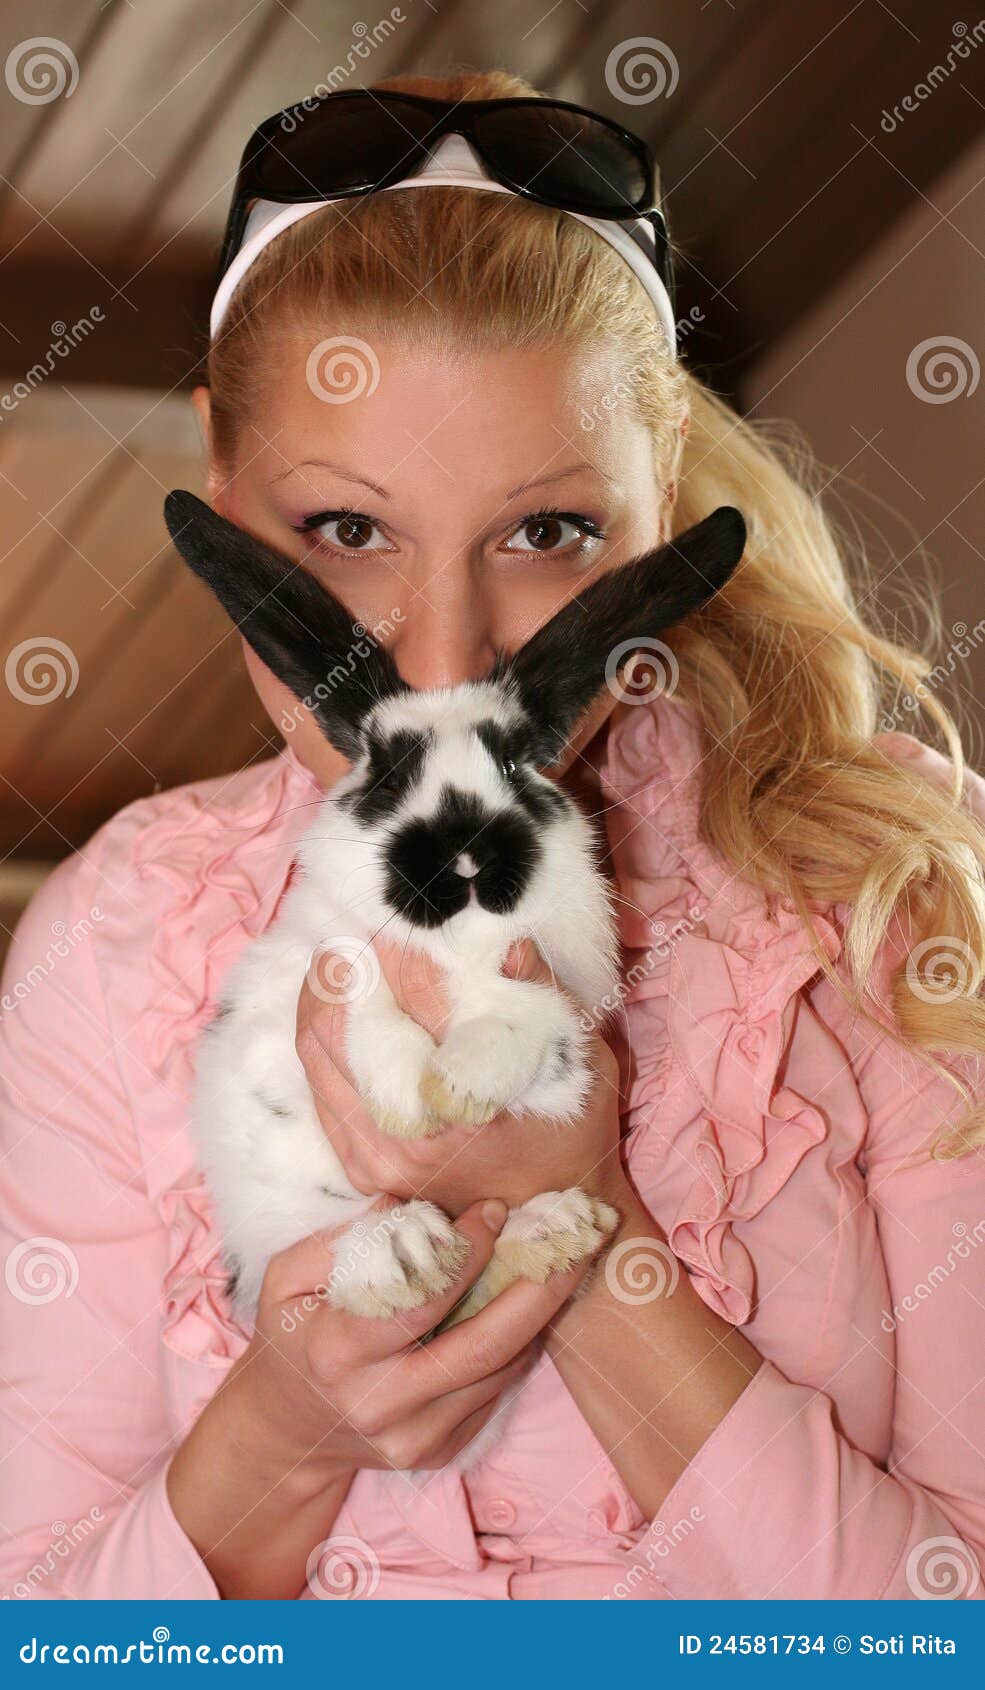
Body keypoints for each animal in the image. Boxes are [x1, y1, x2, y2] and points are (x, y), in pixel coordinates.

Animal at [162, 491, 746, 1450]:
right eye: (387, 770)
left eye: (515, 760)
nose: (465, 852)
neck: (458, 940)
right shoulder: (298, 993)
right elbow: (357, 986)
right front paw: (407, 1100)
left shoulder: (566, 1024)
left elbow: (521, 1025)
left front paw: (458, 1089)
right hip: (274, 1209)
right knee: (348, 1257)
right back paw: (399, 1253)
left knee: (481, 1283)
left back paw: (549, 1231)